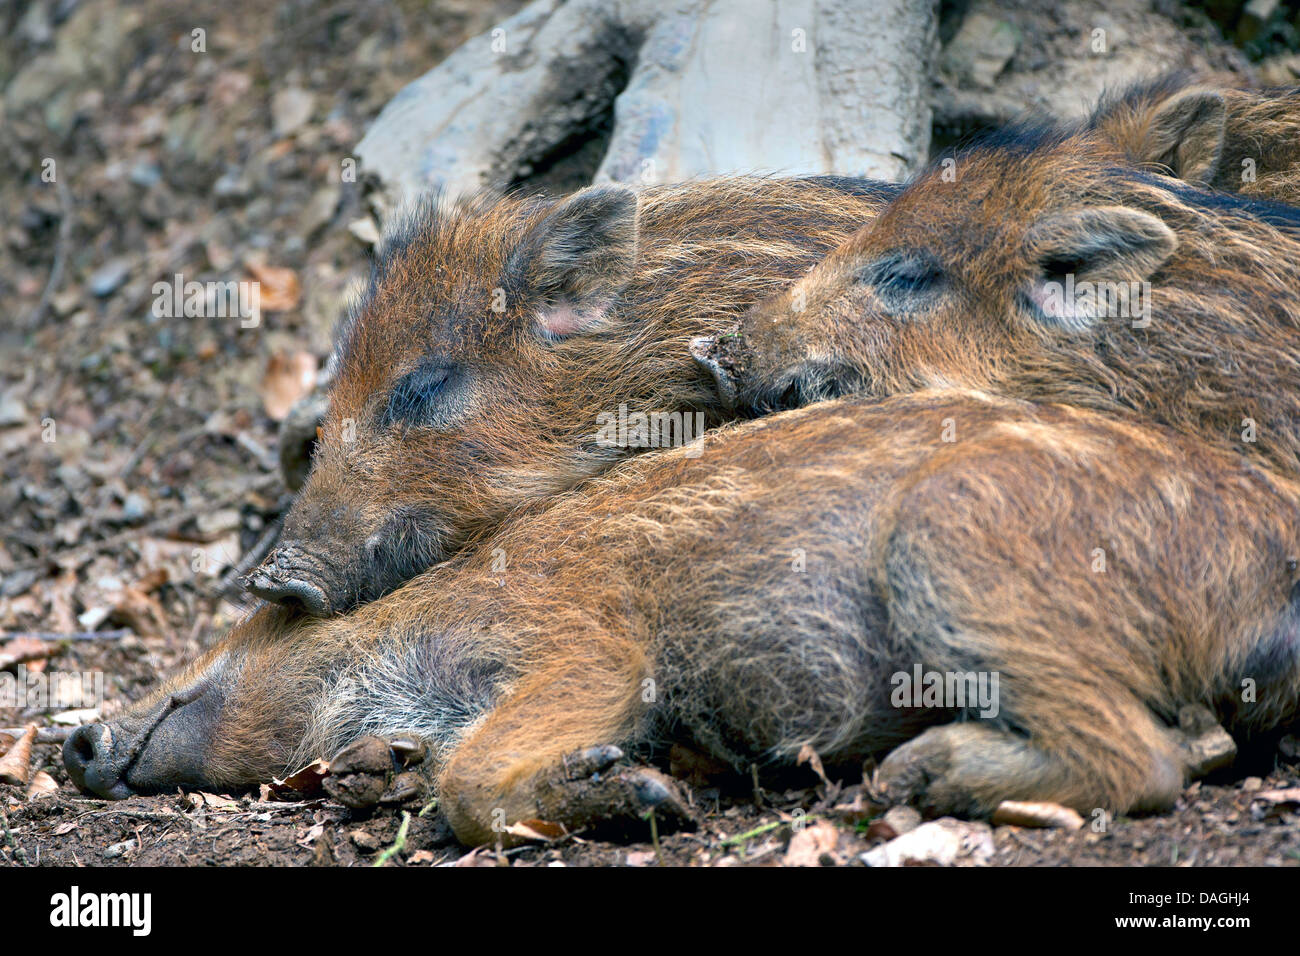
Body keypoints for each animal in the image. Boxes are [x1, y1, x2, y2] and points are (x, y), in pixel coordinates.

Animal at [68, 390, 1300, 845]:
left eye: (224, 637)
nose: (68, 740)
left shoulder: (585, 646)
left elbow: (469, 779)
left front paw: (642, 797)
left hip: (959, 542)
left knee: (1148, 756)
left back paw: (916, 777)